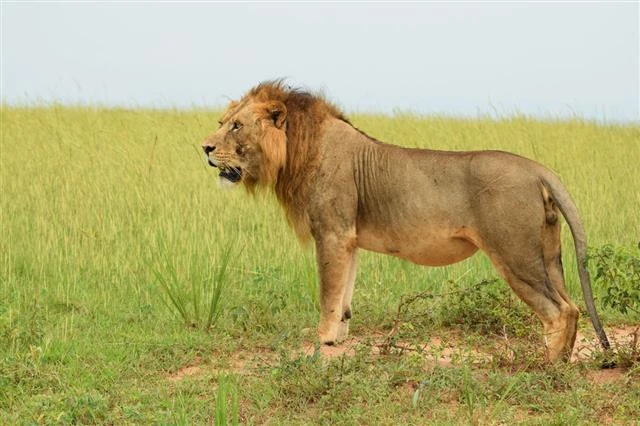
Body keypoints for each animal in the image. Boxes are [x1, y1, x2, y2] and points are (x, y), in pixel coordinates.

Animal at [202, 81, 610, 362]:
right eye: (223, 122)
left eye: (236, 127)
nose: (204, 147)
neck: (297, 150)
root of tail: (537, 169)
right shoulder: (348, 239)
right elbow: (344, 293)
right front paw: (339, 337)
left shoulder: (331, 233)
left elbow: (328, 292)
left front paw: (322, 340)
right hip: (548, 254)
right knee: (570, 305)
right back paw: (561, 360)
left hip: (515, 254)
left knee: (561, 310)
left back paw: (547, 366)